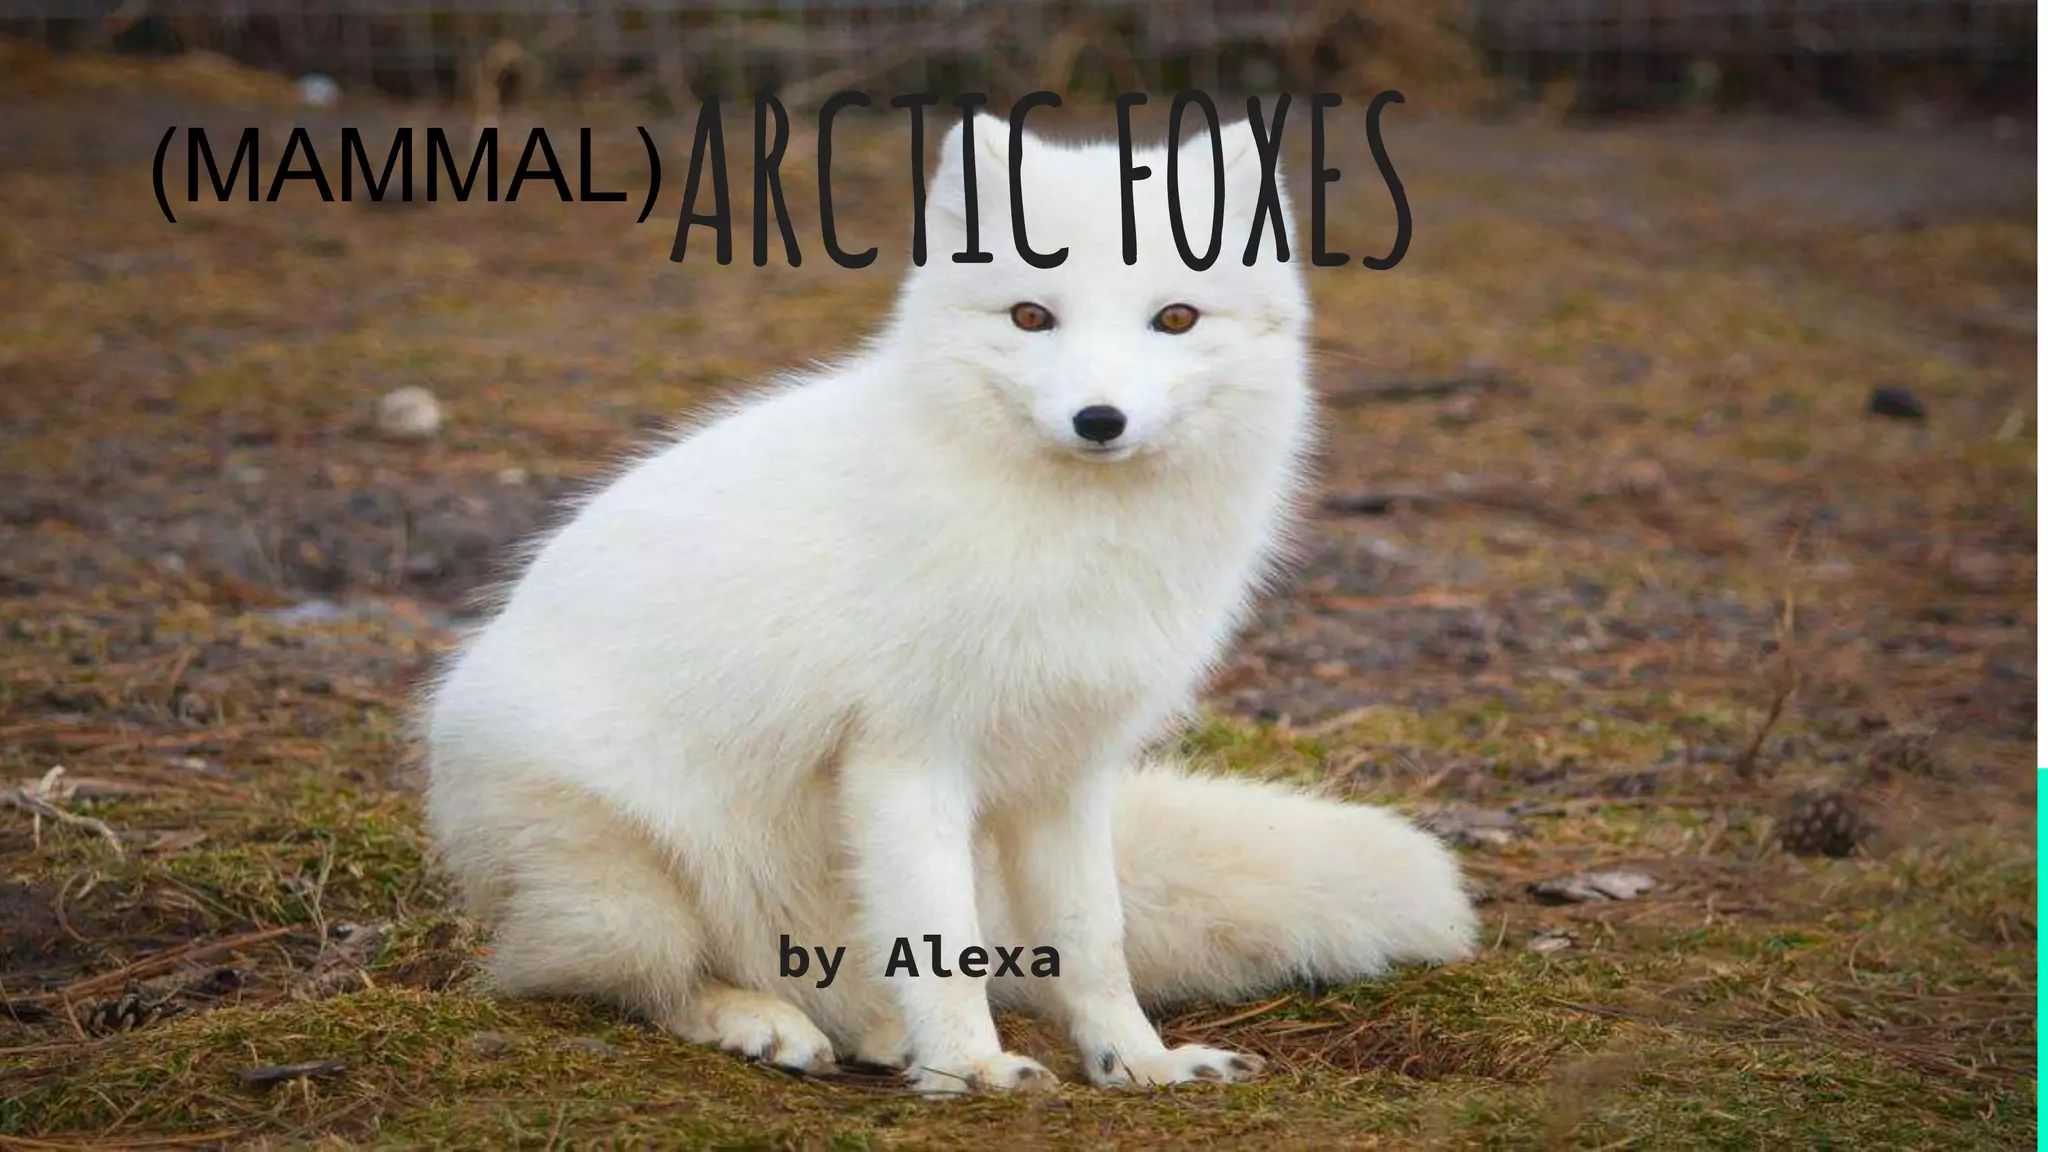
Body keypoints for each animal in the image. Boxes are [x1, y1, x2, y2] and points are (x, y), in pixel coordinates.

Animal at [422, 116, 1479, 1096]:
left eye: (1175, 318)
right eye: (1031, 316)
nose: (1099, 420)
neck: (1072, 545)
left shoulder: (1069, 768)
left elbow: (1094, 938)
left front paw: (1134, 1062)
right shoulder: (906, 754)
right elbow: (941, 936)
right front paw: (972, 1067)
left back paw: (882, 1037)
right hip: (625, 885)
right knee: (617, 980)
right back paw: (763, 1023)